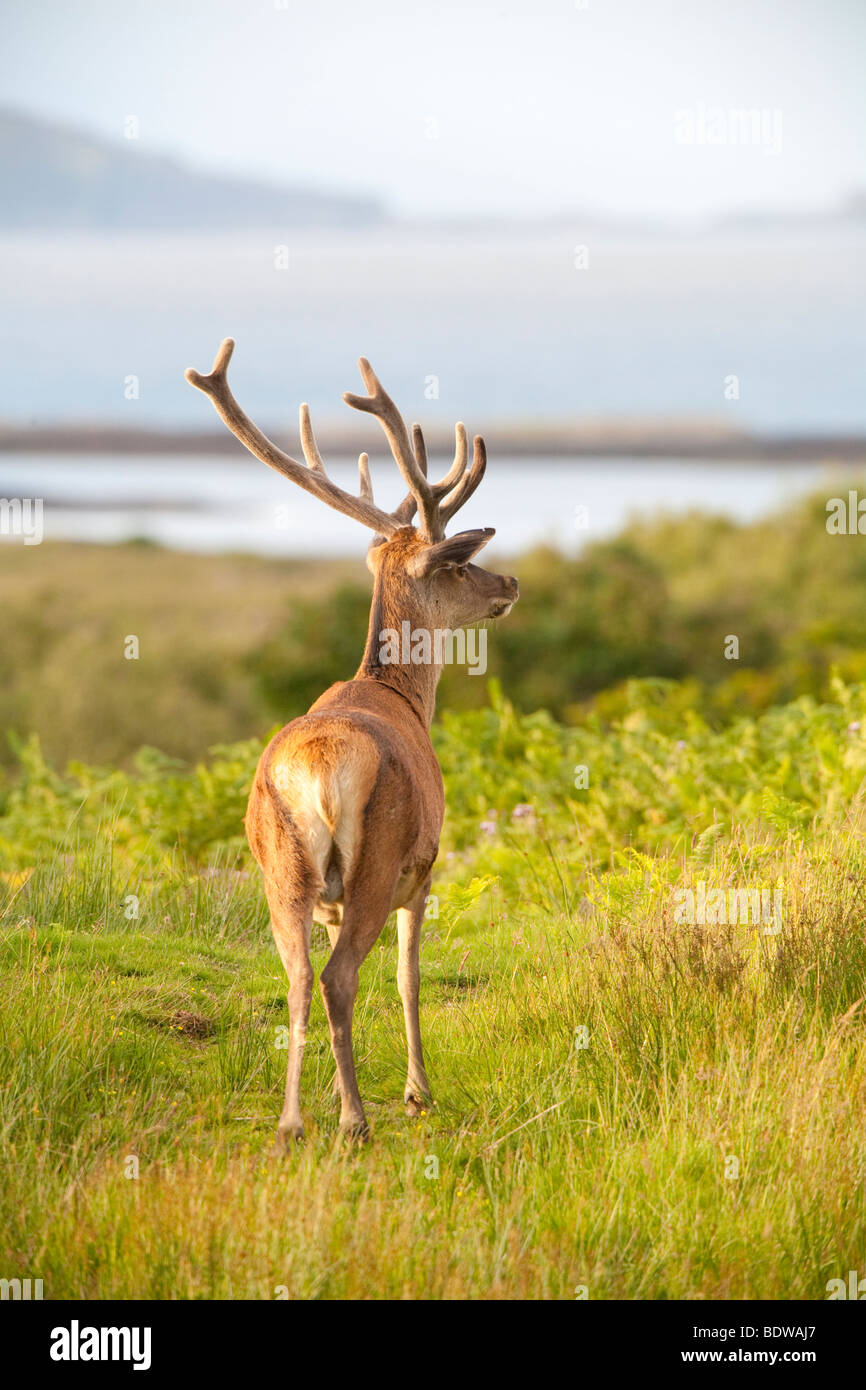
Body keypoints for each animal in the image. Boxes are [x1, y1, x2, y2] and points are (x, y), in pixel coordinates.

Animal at [185, 338, 519, 1145]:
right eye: (462, 563)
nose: (511, 583)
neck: (401, 696)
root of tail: (319, 766)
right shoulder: (424, 872)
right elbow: (409, 978)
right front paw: (420, 1090)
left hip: (278, 868)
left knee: (299, 978)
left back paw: (293, 1121)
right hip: (376, 861)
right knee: (341, 977)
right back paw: (356, 1119)